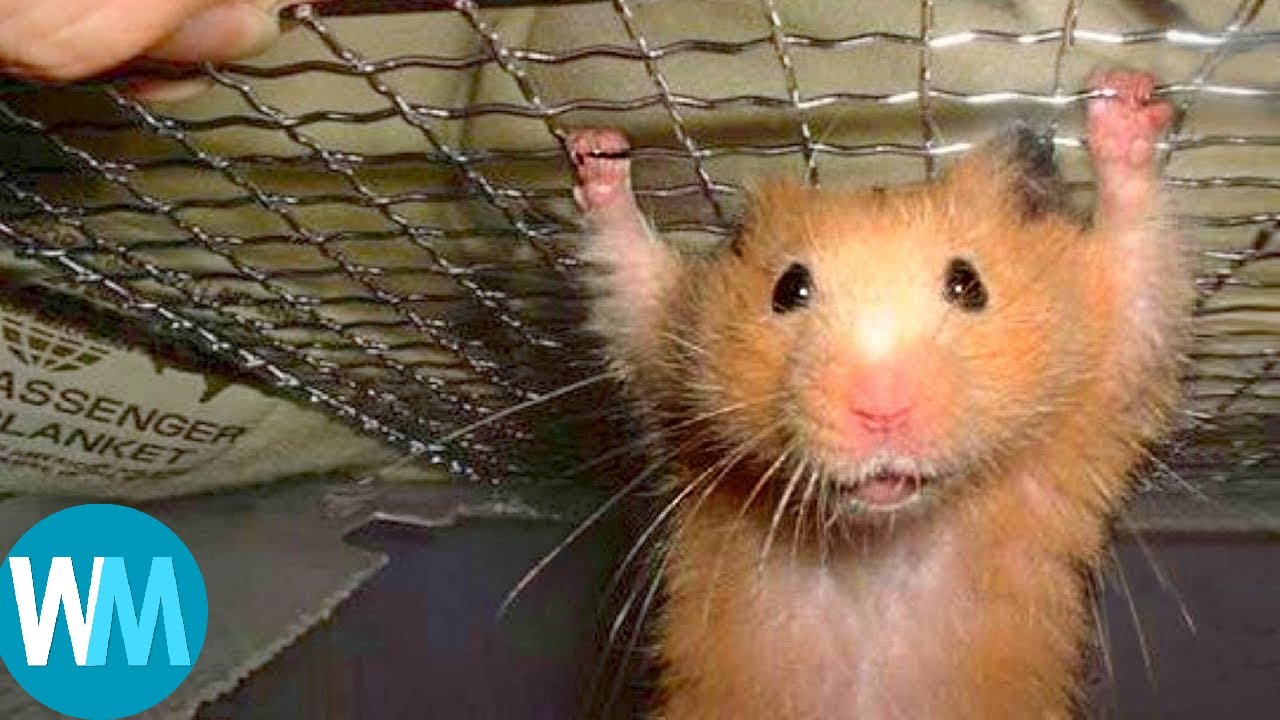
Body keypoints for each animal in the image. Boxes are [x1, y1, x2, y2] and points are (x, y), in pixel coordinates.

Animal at [568, 68, 1188, 719]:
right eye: (788, 289)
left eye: (968, 284)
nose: (882, 408)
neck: (879, 539)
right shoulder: (669, 362)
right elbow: (634, 289)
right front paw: (595, 148)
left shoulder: (1107, 367)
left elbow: (1135, 267)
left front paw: (1126, 93)